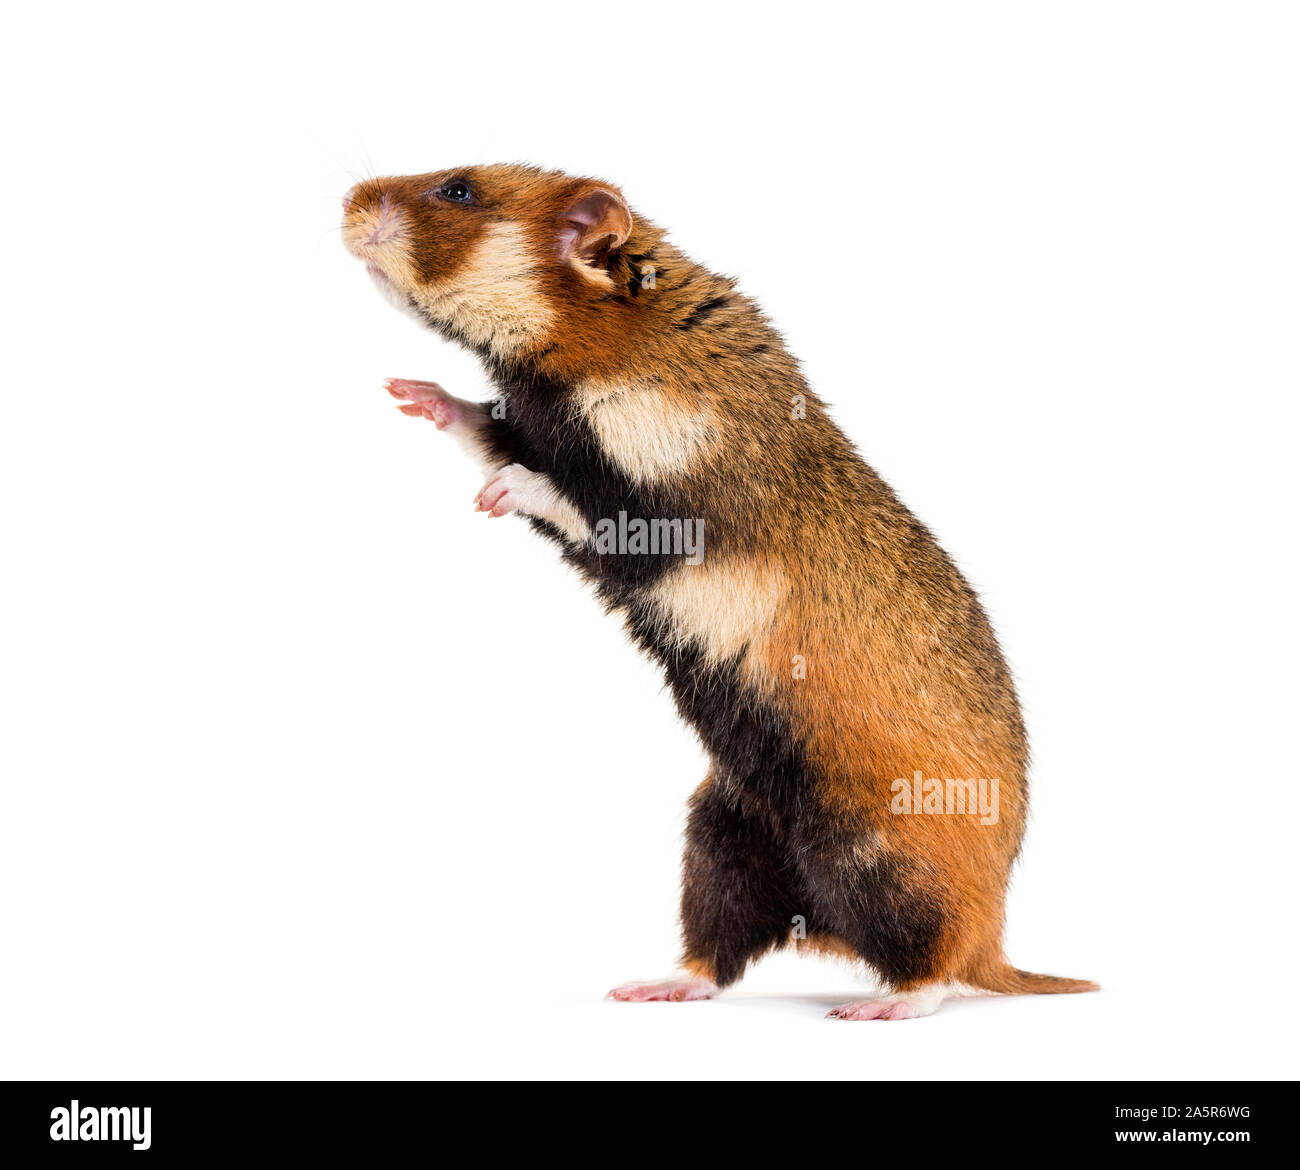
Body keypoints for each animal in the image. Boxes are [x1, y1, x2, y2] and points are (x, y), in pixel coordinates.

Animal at [341, 164, 1096, 1019]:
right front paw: (417, 393)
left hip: (890, 859)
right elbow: (488, 429)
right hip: (721, 832)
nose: (345, 202)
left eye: (458, 192)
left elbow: (563, 493)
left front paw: (503, 490)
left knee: (938, 965)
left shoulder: (675, 508)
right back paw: (654, 986)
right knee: (719, 954)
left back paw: (882, 1004)